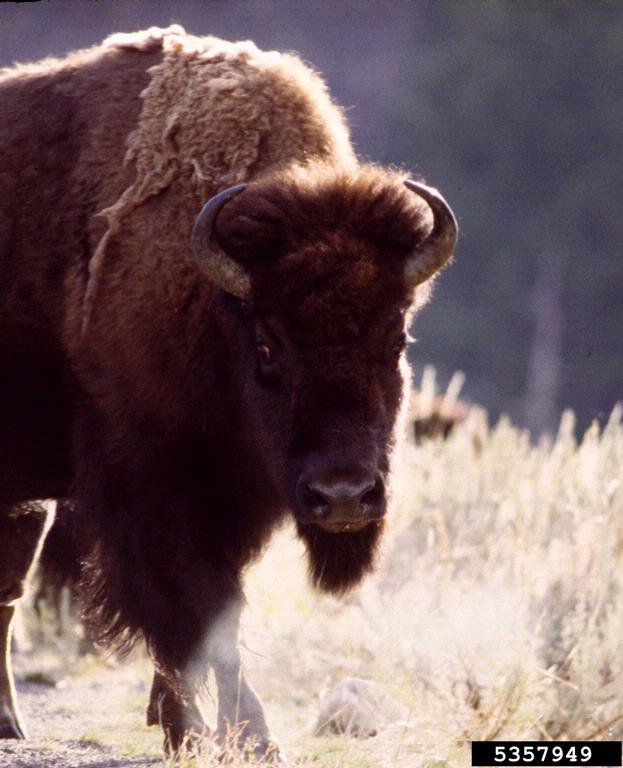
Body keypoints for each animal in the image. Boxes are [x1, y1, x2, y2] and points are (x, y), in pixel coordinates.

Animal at [0, 26, 457, 758]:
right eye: (268, 345)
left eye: (397, 339)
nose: (344, 497)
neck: (211, 305)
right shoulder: (156, 493)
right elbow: (202, 616)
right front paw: (240, 737)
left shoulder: (234, 502)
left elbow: (216, 616)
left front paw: (187, 726)